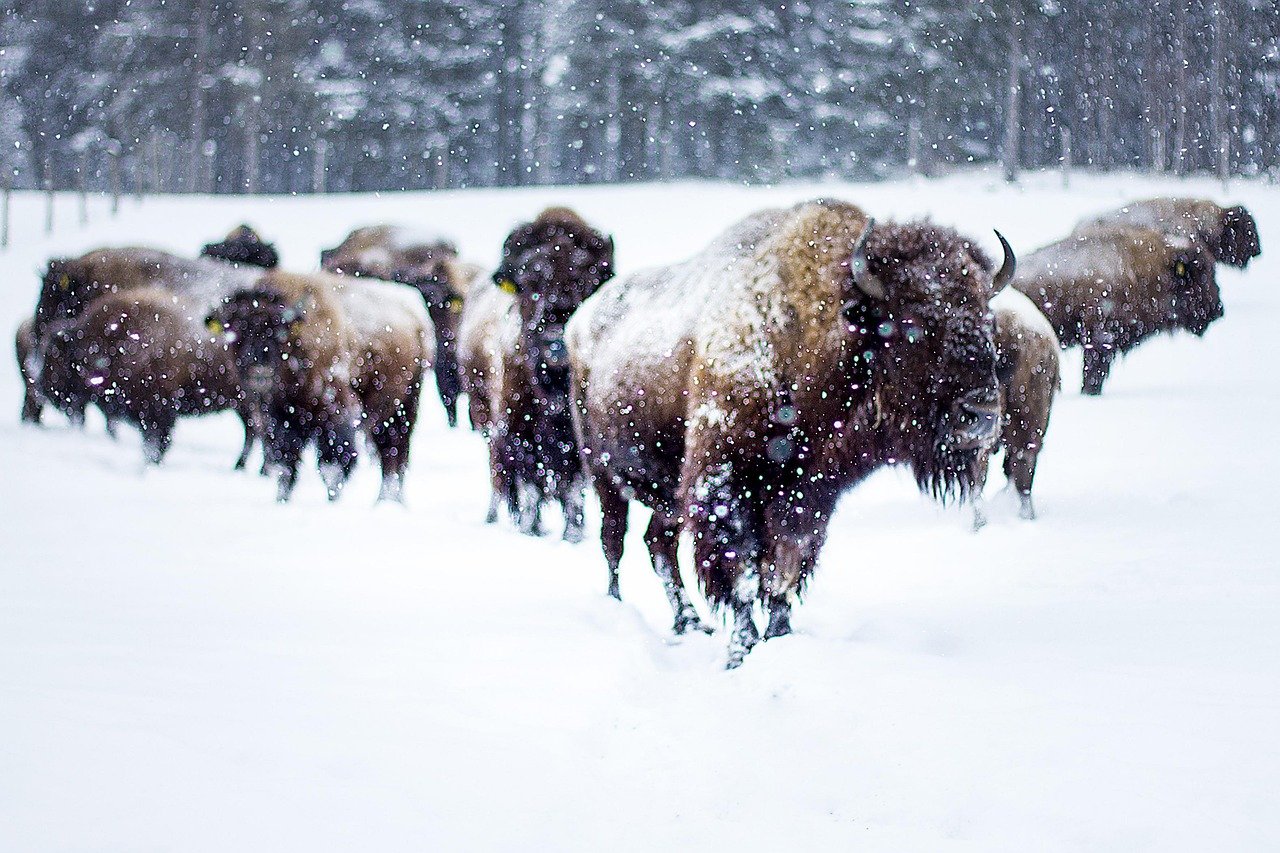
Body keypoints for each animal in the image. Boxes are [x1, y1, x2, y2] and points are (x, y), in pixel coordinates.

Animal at [568, 200, 1012, 667]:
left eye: (987, 317)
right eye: (911, 322)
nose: (982, 413)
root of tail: (581, 320)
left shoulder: (809, 499)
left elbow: (784, 571)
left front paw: (778, 636)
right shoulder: (723, 486)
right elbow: (741, 572)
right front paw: (741, 650)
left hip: (666, 497)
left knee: (659, 545)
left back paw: (688, 622)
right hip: (604, 476)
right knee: (614, 542)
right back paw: (619, 606)